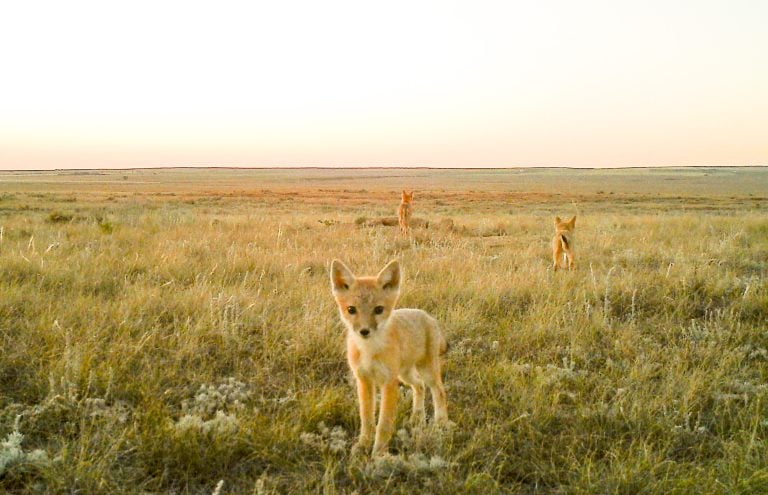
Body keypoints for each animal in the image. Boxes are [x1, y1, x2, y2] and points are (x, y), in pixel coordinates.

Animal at [329, 259, 450, 457]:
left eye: (378, 309)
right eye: (351, 309)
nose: (364, 331)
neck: (369, 351)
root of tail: (427, 315)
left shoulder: (388, 383)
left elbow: (384, 424)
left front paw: (379, 454)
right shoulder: (364, 381)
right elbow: (367, 420)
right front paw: (363, 445)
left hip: (426, 371)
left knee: (439, 391)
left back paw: (441, 422)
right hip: (405, 375)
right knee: (419, 386)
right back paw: (416, 417)